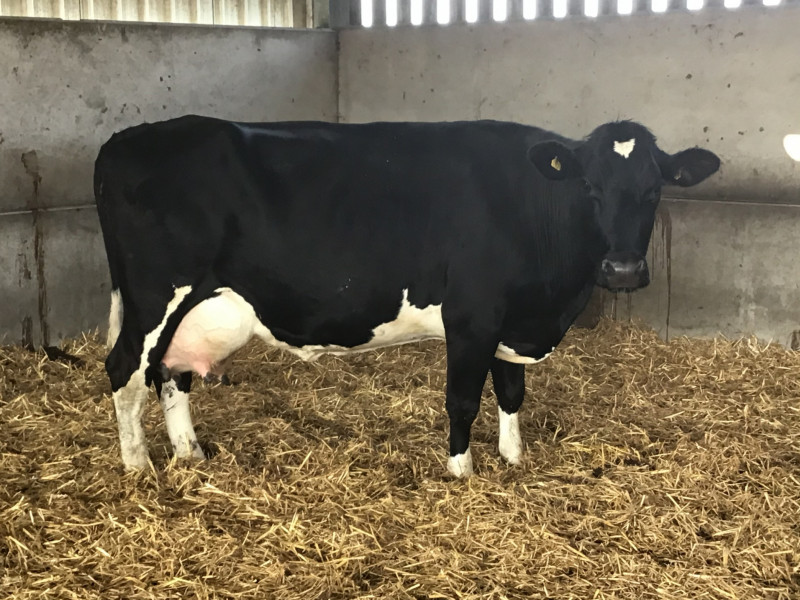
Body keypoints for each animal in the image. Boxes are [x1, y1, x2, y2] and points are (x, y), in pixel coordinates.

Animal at [95, 116, 720, 477]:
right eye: (589, 185)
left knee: (170, 372)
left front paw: (514, 459)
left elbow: (512, 393)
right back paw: (138, 467)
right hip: (154, 295)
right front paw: (461, 472)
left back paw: (189, 453)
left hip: (191, 306)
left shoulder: (511, 320)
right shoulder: (472, 316)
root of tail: (124, 139)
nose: (623, 269)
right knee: (125, 368)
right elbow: (463, 399)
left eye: (654, 189)